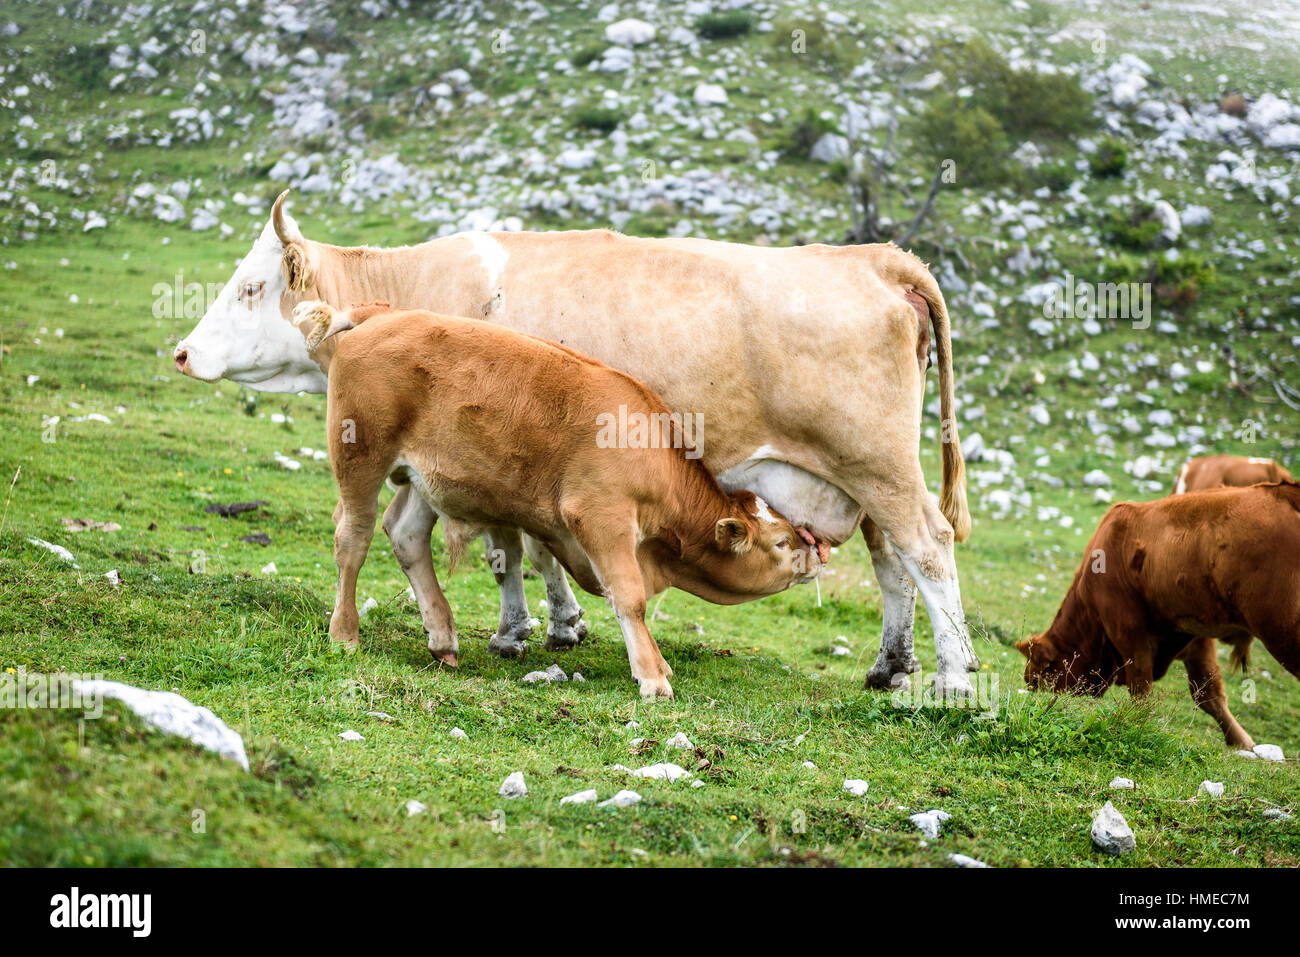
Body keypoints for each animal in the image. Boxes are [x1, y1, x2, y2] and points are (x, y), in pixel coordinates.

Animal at [292, 300, 825, 699]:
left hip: (428, 477)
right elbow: (628, 597)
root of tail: (383, 313)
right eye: (780, 542)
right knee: (353, 539)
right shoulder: (599, 517)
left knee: (404, 536)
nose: (817, 551)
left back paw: (443, 637)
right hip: (360, 455)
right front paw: (652, 676)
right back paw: (344, 633)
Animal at [1016, 483, 1300, 748]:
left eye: (1040, 678)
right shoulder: (1194, 634)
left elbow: (1141, 688)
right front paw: (1242, 743)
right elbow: (1208, 693)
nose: (1034, 699)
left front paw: (1140, 725)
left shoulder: (1128, 632)